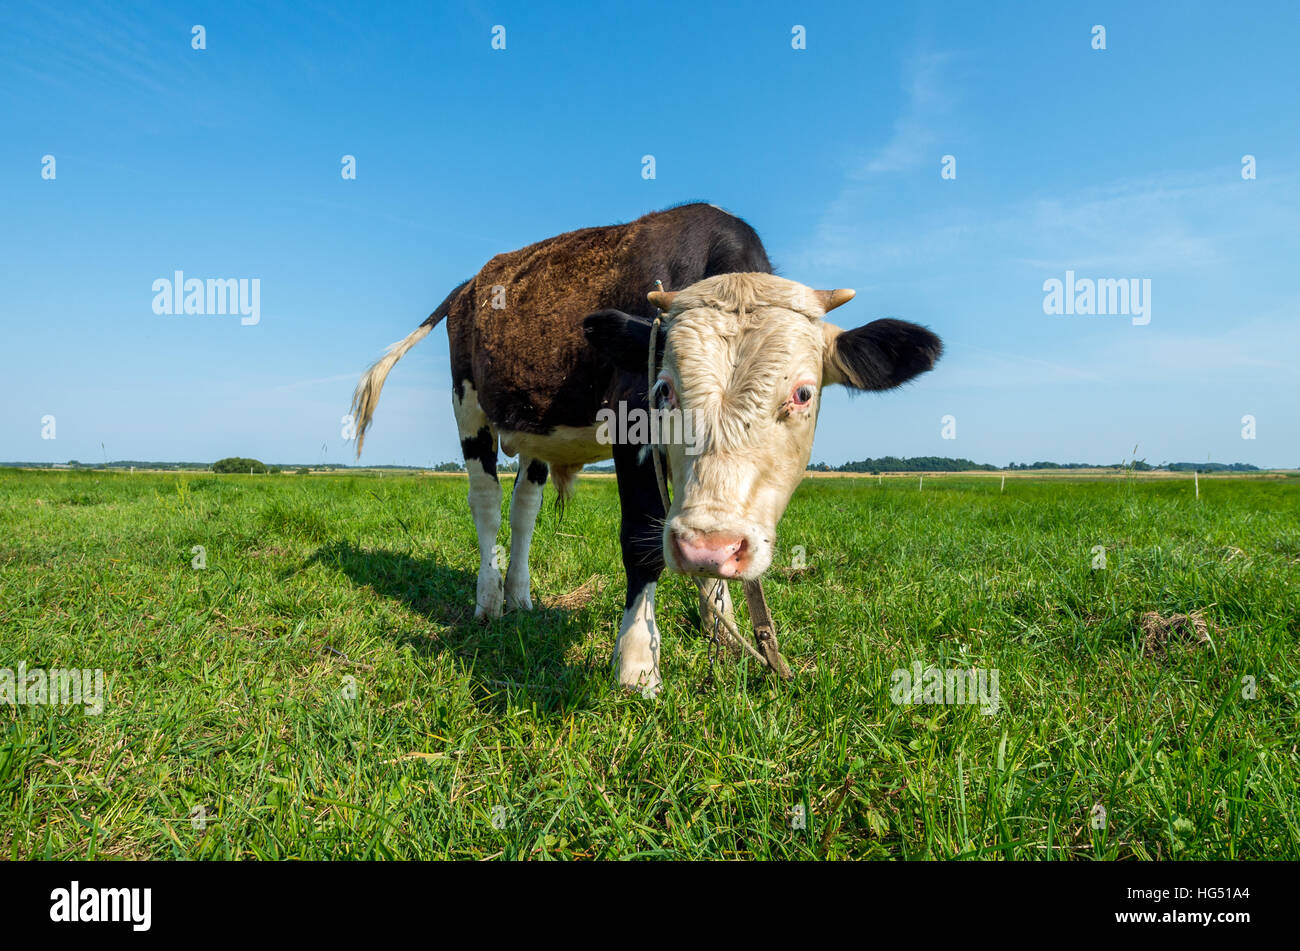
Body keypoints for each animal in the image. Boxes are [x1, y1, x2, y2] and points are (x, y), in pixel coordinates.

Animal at [350, 203, 941, 692]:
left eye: (803, 393)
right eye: (664, 390)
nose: (710, 547)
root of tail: (470, 285)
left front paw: (722, 629)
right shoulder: (629, 419)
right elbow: (640, 540)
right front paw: (637, 663)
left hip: (537, 430)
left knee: (524, 508)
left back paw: (520, 595)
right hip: (469, 403)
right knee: (487, 504)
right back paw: (489, 598)